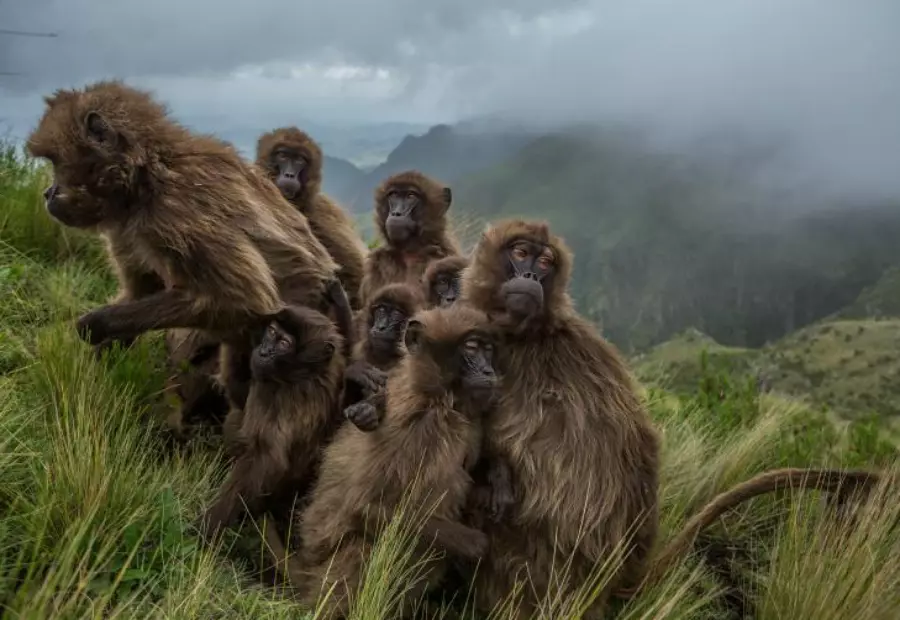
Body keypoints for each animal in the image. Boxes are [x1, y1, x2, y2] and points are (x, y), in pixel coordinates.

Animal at [25, 82, 356, 412]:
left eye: (56, 163)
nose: (47, 193)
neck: (148, 173)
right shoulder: (130, 228)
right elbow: (142, 290)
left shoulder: (179, 212)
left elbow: (244, 299)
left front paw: (95, 324)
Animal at [342, 282, 422, 432]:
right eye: (381, 311)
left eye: (396, 314)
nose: (381, 327)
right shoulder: (359, 351)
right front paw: (355, 373)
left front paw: (371, 409)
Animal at [358, 171, 460, 306]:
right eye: (394, 195)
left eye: (411, 196)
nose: (396, 213)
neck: (410, 251)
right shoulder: (379, 260)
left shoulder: (441, 254)